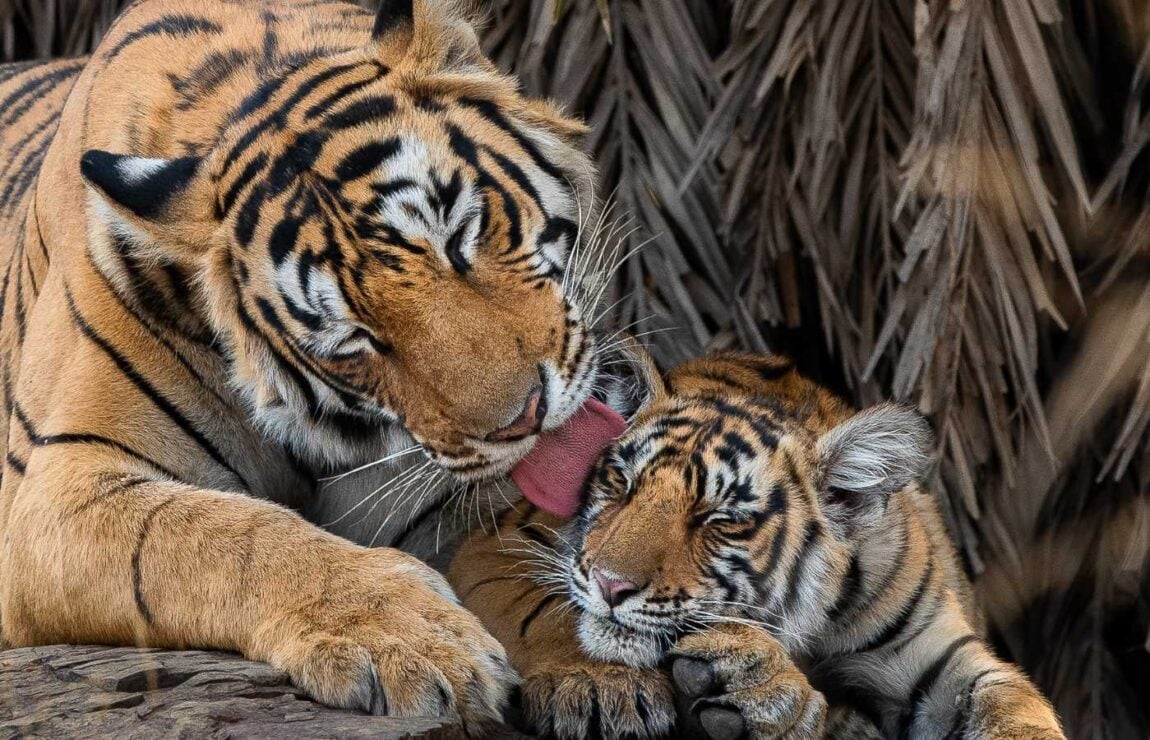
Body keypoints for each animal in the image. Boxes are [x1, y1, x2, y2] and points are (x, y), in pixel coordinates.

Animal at [0, 0, 633, 728]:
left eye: (458, 236)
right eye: (355, 340)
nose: (524, 419)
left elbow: (525, 559)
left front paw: (600, 672)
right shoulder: (56, 491)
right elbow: (225, 537)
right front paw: (410, 639)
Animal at [450, 351, 1066, 739]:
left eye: (718, 518)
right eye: (621, 483)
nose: (609, 583)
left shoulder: (941, 653)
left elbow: (1013, 702)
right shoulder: (500, 543)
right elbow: (544, 612)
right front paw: (602, 686)